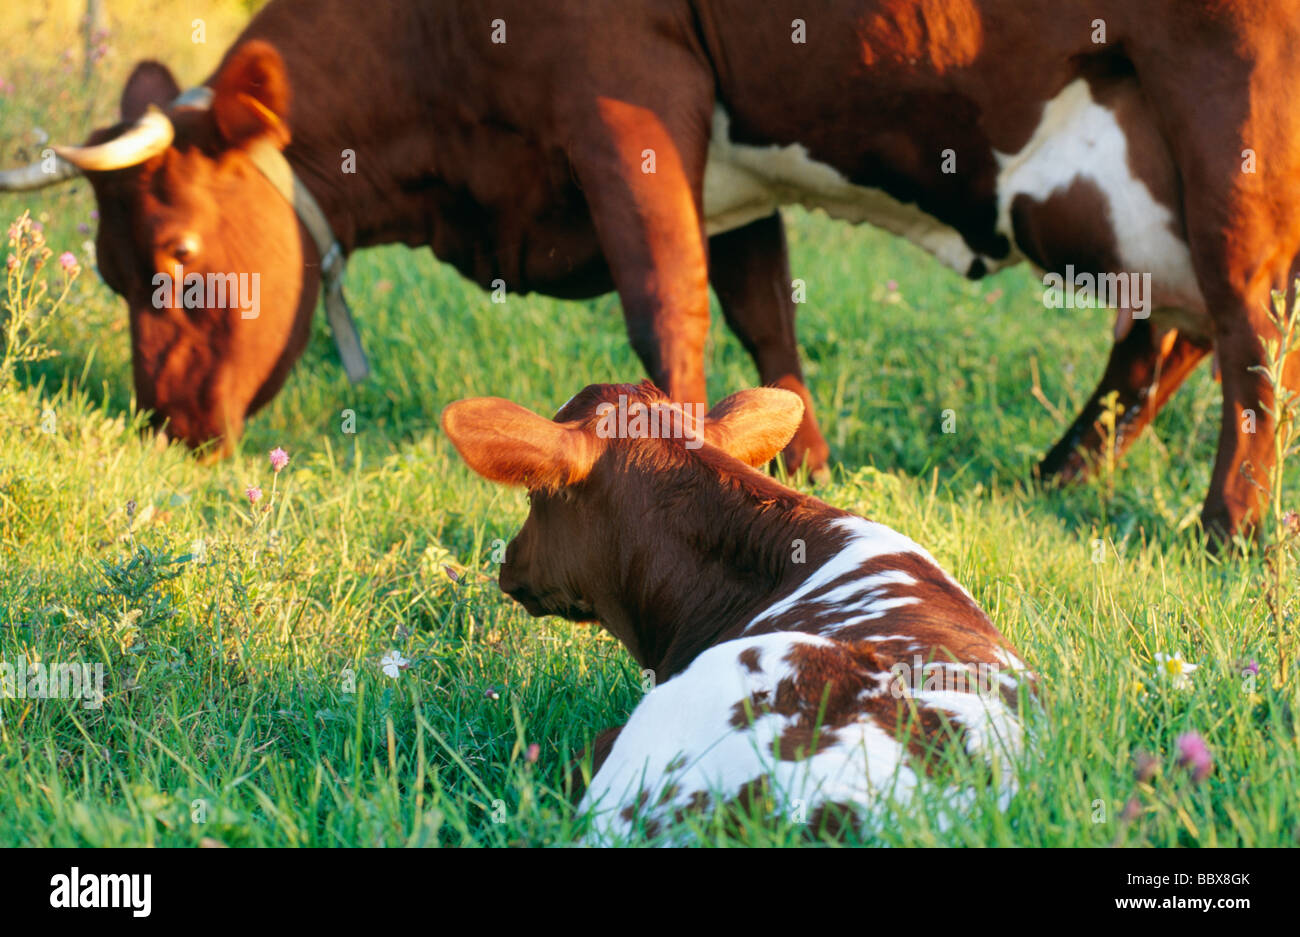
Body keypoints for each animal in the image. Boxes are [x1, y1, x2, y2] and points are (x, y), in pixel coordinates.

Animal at [3, 0, 1299, 544]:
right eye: (108, 269)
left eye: (175, 259)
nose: (167, 425)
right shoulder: (727, 165)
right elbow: (763, 316)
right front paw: (801, 464)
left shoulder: (626, 93)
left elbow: (664, 306)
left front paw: (693, 457)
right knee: (1168, 332)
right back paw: (1057, 479)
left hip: (1225, 107)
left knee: (1246, 319)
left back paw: (1227, 527)